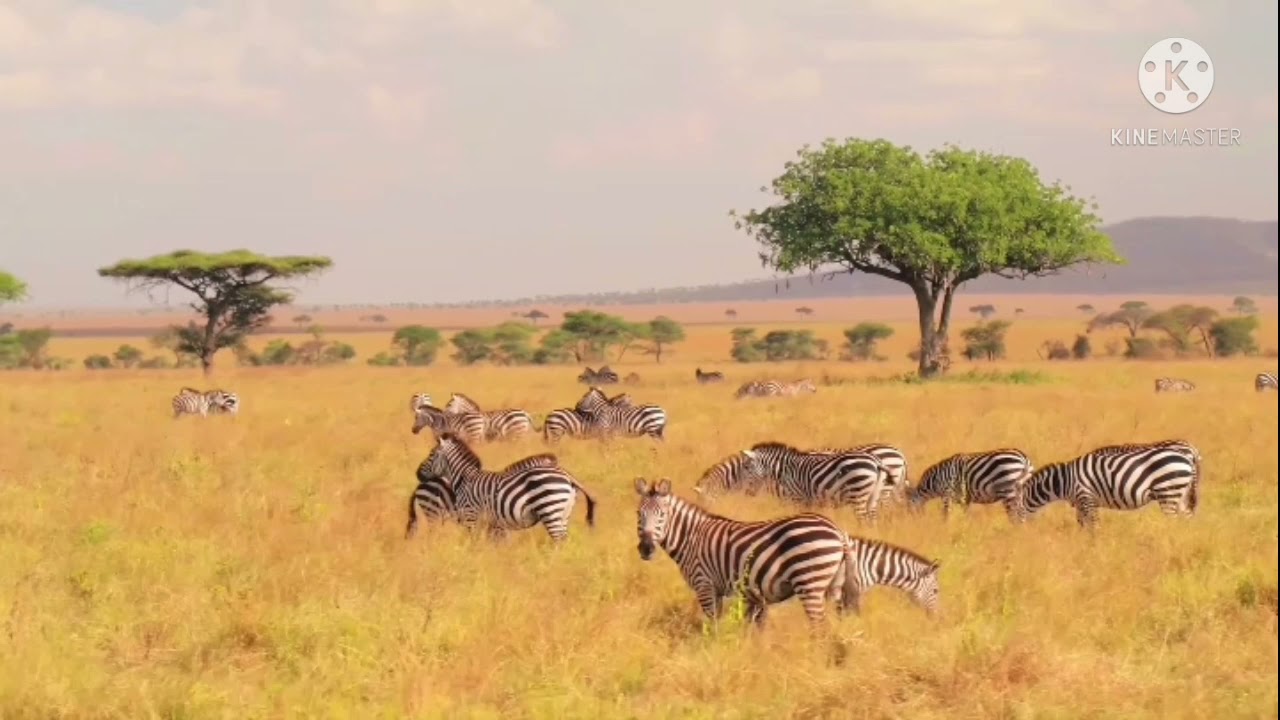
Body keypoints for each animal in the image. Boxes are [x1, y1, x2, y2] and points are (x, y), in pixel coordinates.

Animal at [634, 477, 939, 629]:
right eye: (639, 515)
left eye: (661, 515)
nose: (646, 549)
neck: (692, 537)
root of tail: (837, 531)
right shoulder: (738, 593)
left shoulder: (705, 585)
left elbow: (713, 626)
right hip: (828, 586)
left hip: (810, 582)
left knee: (819, 627)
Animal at [739, 442, 890, 522]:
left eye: (746, 467)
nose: (746, 493)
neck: (786, 470)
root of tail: (876, 462)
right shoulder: (809, 501)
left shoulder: (797, 498)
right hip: (874, 495)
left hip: (859, 493)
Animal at [1013, 444, 1199, 530]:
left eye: (1016, 512)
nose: (1018, 537)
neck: (1065, 481)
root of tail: (1188, 458)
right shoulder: (1081, 503)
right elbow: (1083, 526)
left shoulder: (1086, 498)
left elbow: (1094, 526)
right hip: (1181, 493)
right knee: (1186, 518)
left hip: (1169, 492)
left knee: (1173, 522)